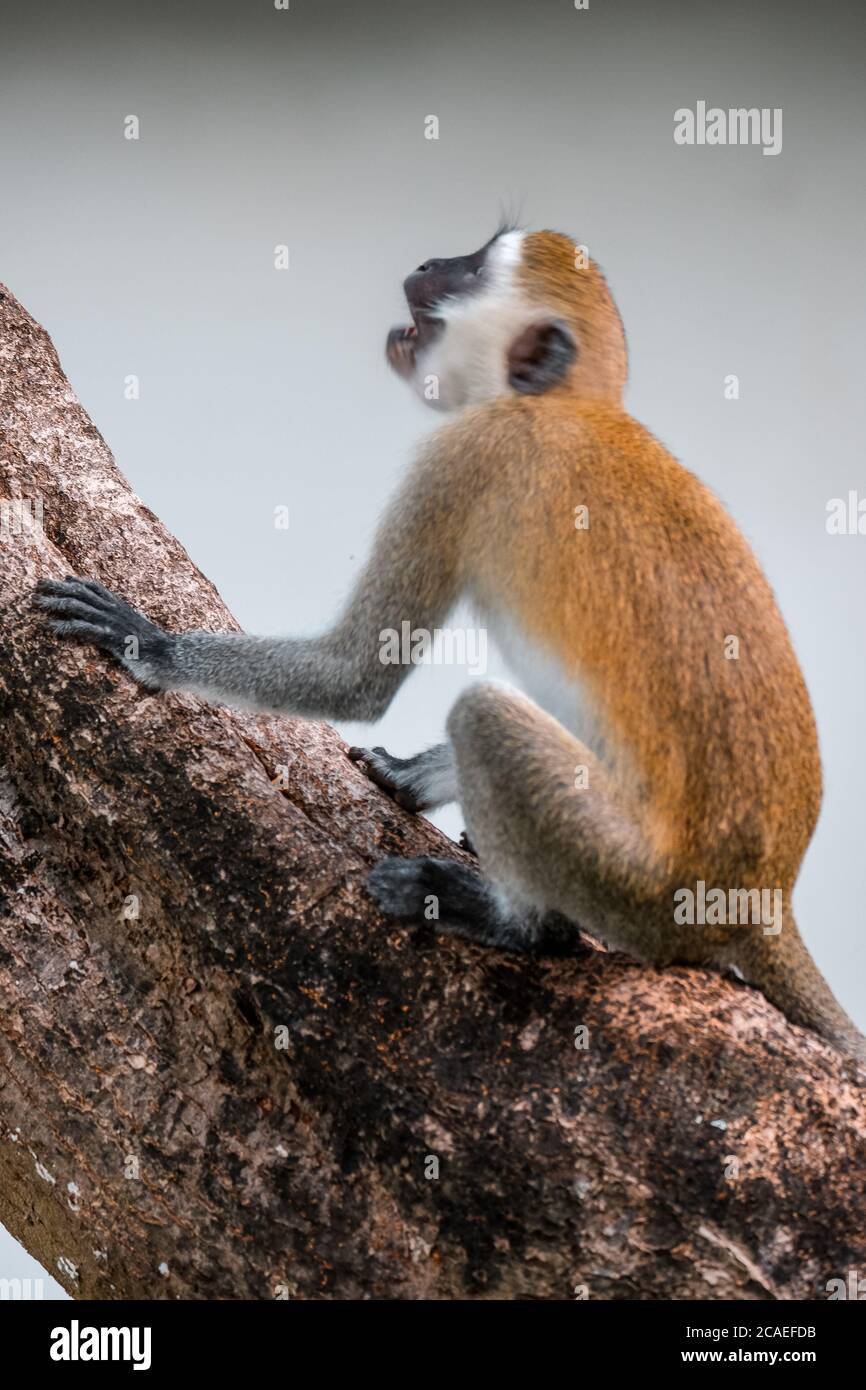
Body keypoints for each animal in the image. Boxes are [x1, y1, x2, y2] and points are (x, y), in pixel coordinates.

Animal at [36, 223, 865, 1062]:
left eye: (472, 268)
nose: (431, 262)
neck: (565, 403)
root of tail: (761, 896)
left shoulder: (461, 459)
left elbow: (356, 675)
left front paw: (147, 644)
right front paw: (409, 774)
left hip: (639, 886)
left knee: (486, 720)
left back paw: (520, 926)